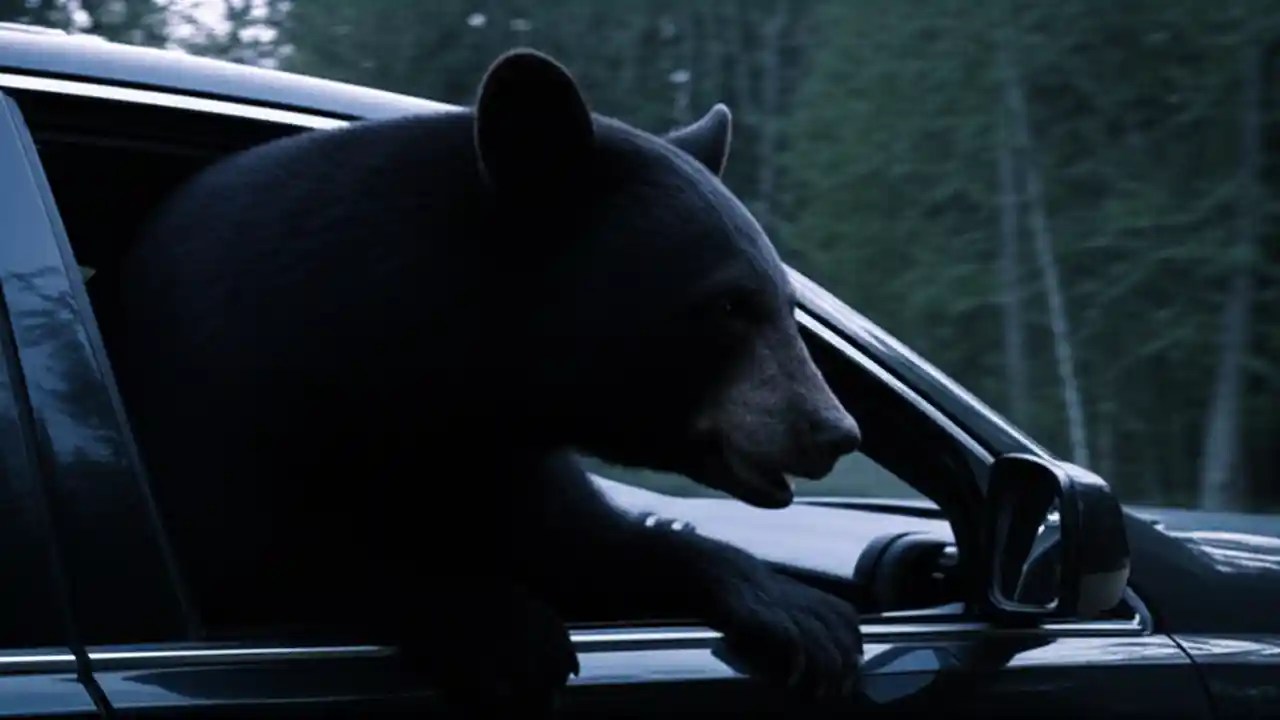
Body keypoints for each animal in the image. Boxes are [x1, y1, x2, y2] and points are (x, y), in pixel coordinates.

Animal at [105, 48, 866, 713]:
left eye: (786, 303)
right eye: (730, 304)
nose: (832, 428)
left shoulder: (505, 454)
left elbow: (581, 541)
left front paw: (799, 611)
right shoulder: (233, 392)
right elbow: (266, 555)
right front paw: (501, 626)